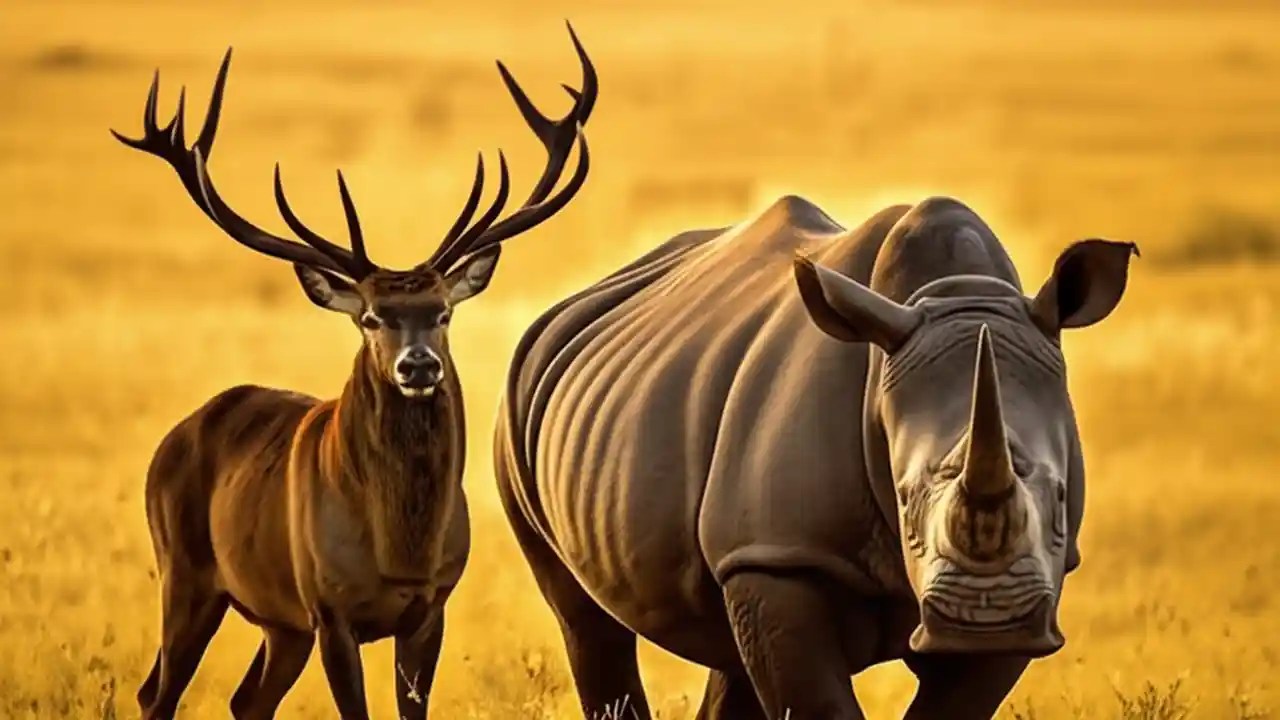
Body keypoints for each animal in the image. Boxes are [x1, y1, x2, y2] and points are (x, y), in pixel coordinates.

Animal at [111, 25, 595, 720]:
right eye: (369, 317)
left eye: (442, 311)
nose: (417, 364)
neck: (397, 551)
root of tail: (177, 434)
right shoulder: (329, 608)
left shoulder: (430, 607)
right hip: (184, 568)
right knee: (157, 691)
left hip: (278, 622)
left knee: (246, 700)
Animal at [494, 195, 1137, 719]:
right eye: (905, 501)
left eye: (1059, 498)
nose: (986, 621)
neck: (955, 293)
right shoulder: (783, 555)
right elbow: (817, 705)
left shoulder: (1040, 591)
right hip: (517, 401)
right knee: (585, 622)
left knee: (729, 647)